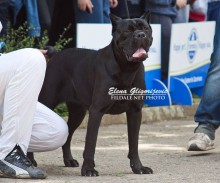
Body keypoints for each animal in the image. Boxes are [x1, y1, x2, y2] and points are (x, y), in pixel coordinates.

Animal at [37, 12, 153, 177]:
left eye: (146, 29)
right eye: (127, 31)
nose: (140, 34)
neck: (127, 68)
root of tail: (56, 55)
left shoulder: (135, 112)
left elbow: (134, 143)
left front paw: (138, 167)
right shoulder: (96, 111)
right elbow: (91, 143)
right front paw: (88, 169)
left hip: (78, 112)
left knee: (68, 133)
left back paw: (69, 160)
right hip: (47, 101)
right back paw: (31, 161)